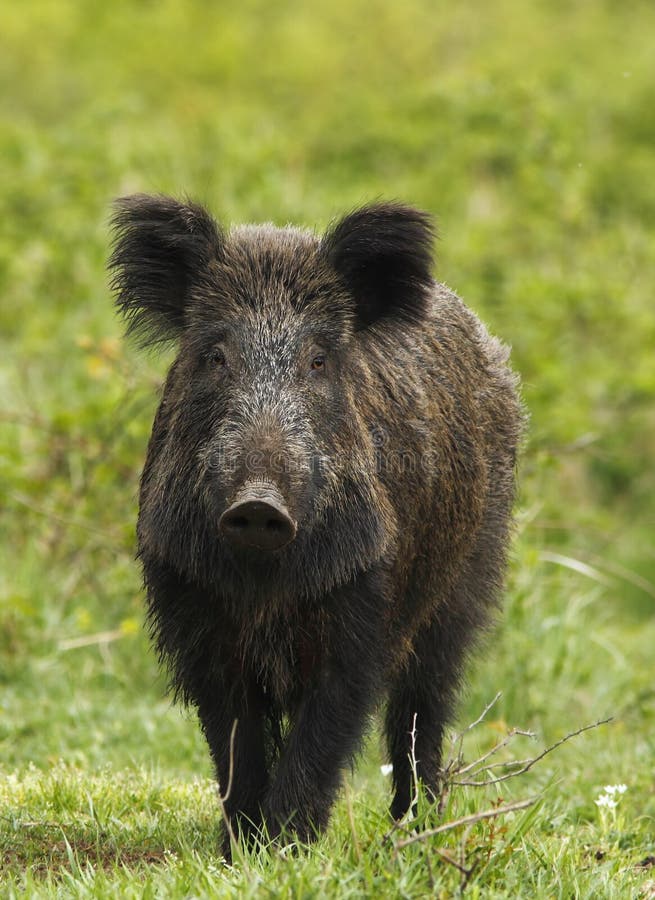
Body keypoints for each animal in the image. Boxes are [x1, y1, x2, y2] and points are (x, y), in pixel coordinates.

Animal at [109, 195, 523, 858]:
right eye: (215, 356)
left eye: (318, 360)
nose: (259, 504)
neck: (266, 586)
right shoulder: (193, 610)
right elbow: (235, 741)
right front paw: (240, 851)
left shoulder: (365, 603)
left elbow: (324, 734)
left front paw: (287, 850)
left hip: (467, 577)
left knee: (423, 705)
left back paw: (417, 828)